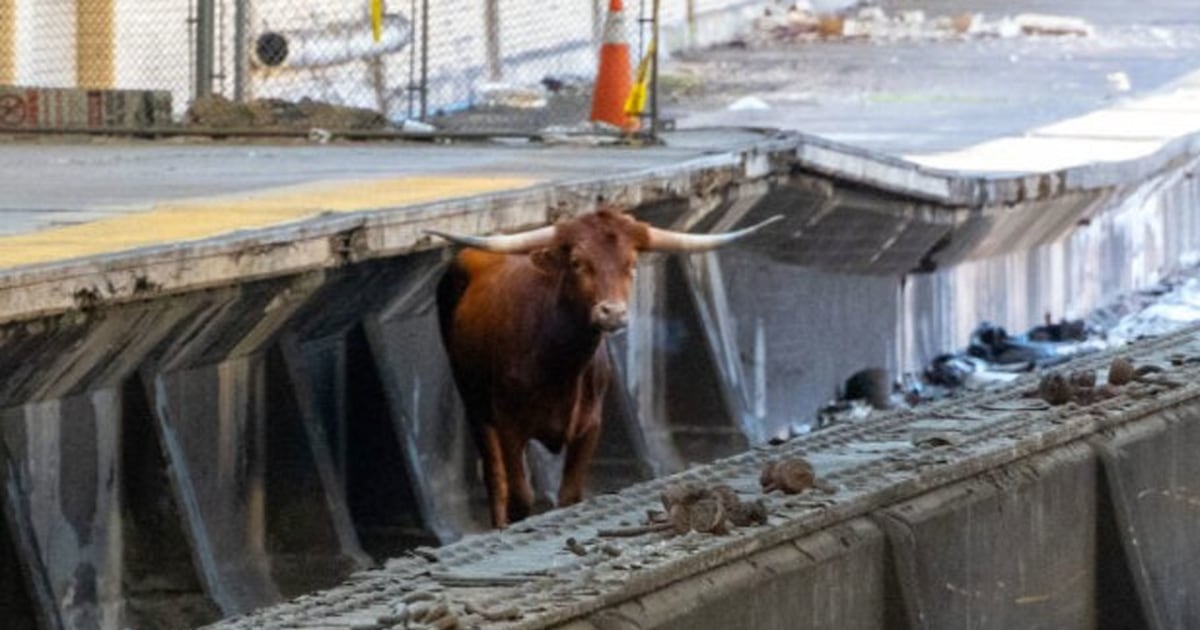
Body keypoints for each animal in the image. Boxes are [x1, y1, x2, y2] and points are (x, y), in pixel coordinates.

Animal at [428, 207, 780, 528]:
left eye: (631, 264)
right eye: (578, 263)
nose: (612, 313)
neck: (557, 365)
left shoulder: (590, 427)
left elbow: (570, 496)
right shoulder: (510, 425)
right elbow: (520, 498)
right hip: (475, 406)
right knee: (494, 477)